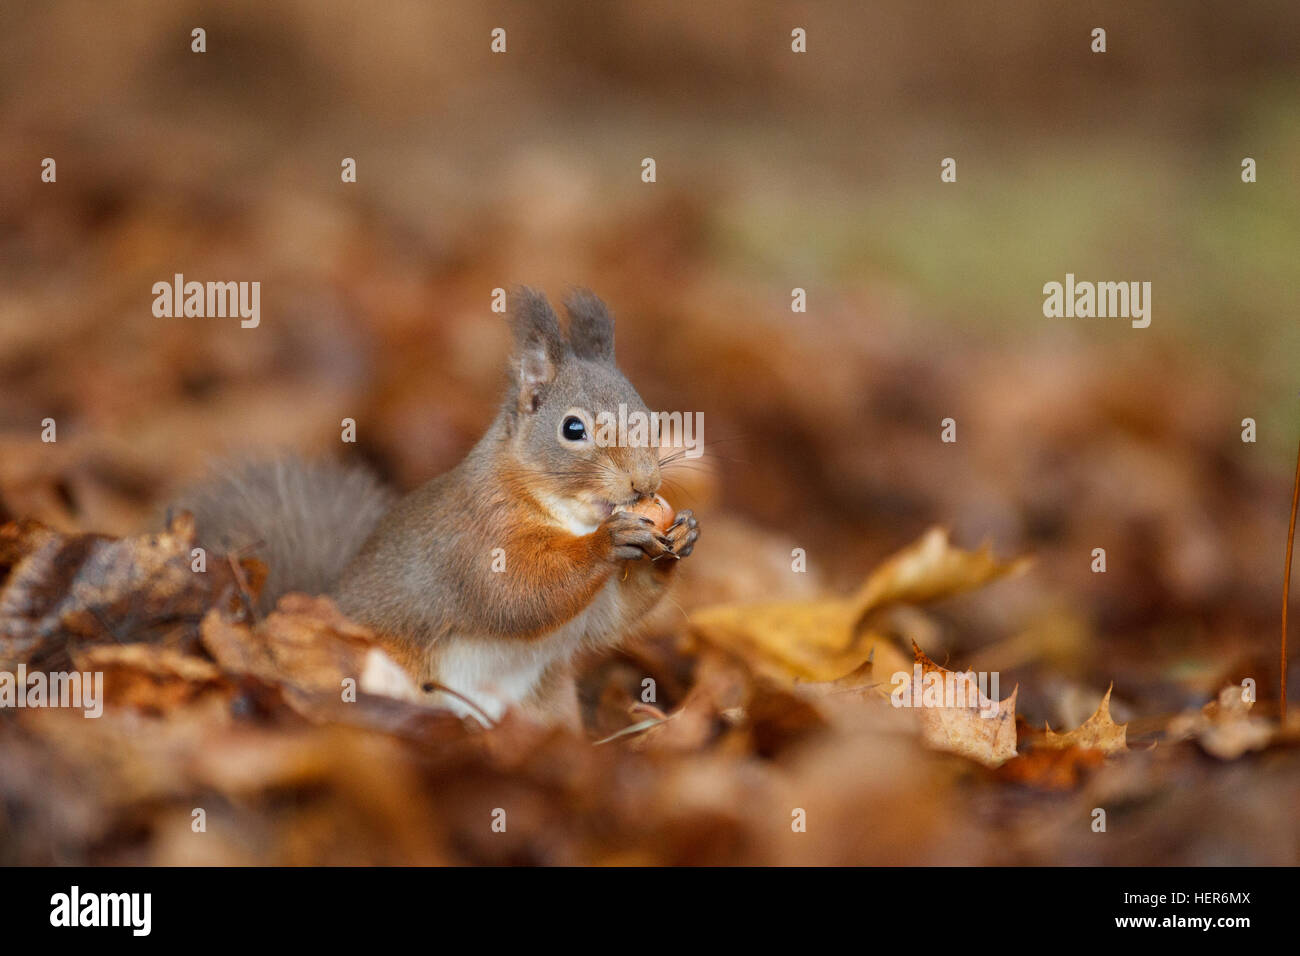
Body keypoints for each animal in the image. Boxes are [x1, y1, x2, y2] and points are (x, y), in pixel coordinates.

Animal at [173, 288, 699, 727]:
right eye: (573, 429)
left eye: (653, 418)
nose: (645, 481)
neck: (568, 517)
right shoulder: (478, 537)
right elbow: (518, 593)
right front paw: (610, 541)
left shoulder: (594, 607)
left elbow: (613, 615)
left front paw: (684, 535)